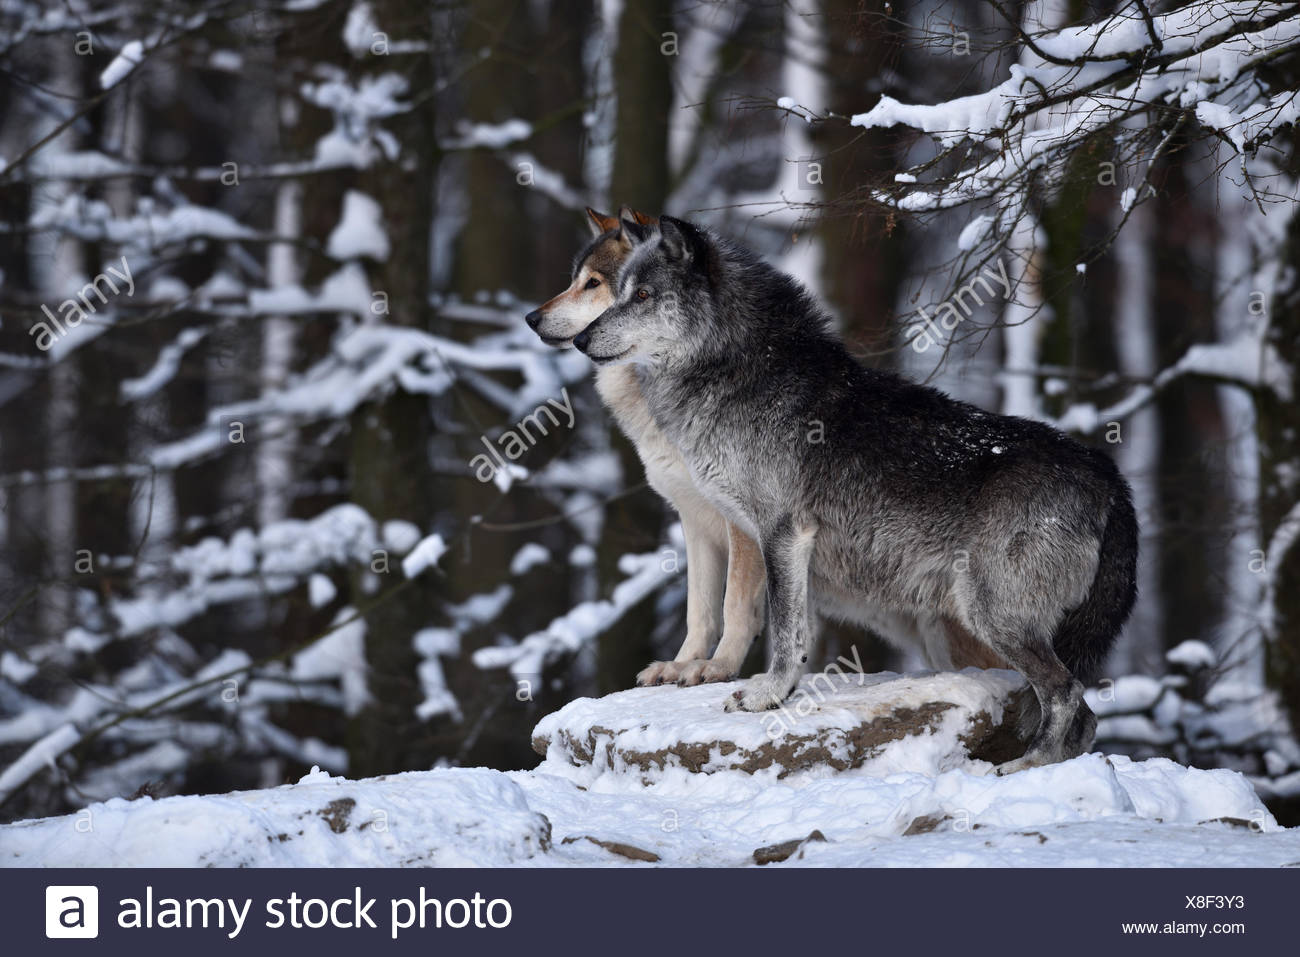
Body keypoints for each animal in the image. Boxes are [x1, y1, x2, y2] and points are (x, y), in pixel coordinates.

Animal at [524, 207, 767, 687]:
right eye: (573, 280)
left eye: (592, 283)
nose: (531, 318)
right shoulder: (694, 516)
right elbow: (700, 609)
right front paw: (681, 664)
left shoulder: (744, 521)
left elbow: (736, 602)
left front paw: (720, 667)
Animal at [574, 214, 1138, 771]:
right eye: (618, 292)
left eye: (643, 294)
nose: (580, 341)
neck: (740, 372)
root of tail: (1108, 476)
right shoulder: (771, 543)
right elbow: (786, 629)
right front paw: (778, 692)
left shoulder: (783, 534)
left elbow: (783, 629)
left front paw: (764, 696)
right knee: (1084, 713)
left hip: (990, 616)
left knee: (1065, 691)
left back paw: (1027, 765)